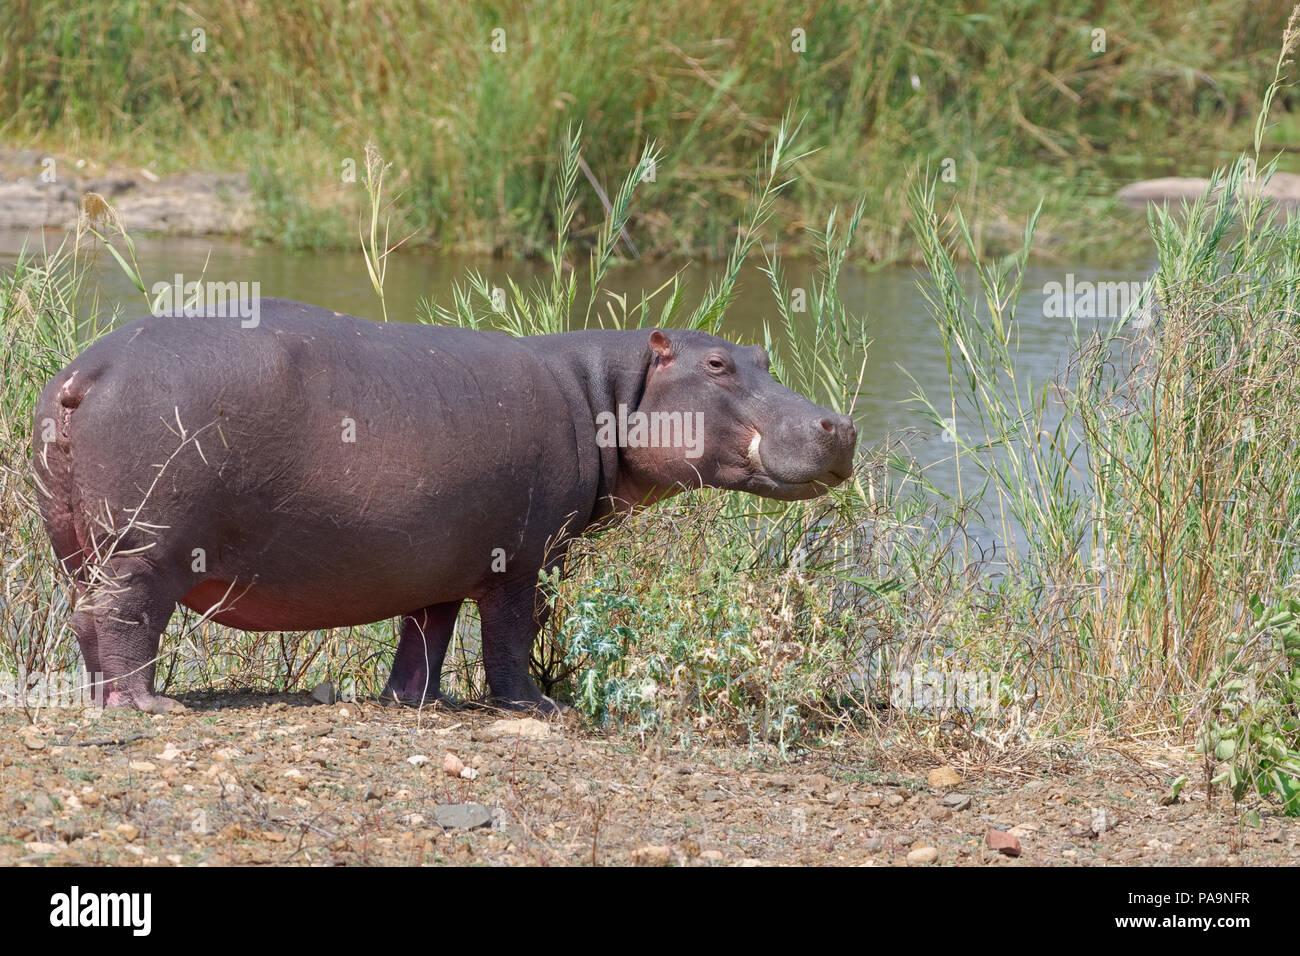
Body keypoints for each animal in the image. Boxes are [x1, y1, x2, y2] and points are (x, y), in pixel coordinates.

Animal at [31, 298, 856, 713]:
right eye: (716, 364)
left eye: (762, 358)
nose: (841, 425)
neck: (609, 389)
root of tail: (87, 371)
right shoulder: (525, 558)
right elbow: (512, 638)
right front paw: (540, 709)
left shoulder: (437, 559)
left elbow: (426, 633)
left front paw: (411, 701)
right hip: (145, 550)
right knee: (126, 620)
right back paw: (148, 707)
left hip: (80, 551)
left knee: (86, 619)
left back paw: (100, 701)